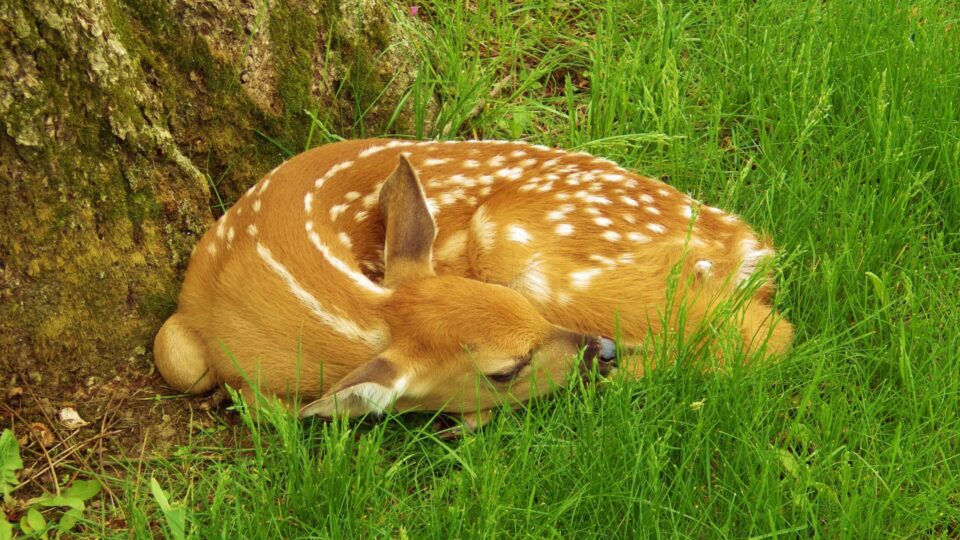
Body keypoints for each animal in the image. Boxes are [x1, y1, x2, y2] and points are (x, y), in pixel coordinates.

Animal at [154, 139, 793, 433]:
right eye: (502, 370)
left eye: (523, 311)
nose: (602, 352)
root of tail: (746, 245)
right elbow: (179, 357)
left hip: (520, 246)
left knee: (764, 337)